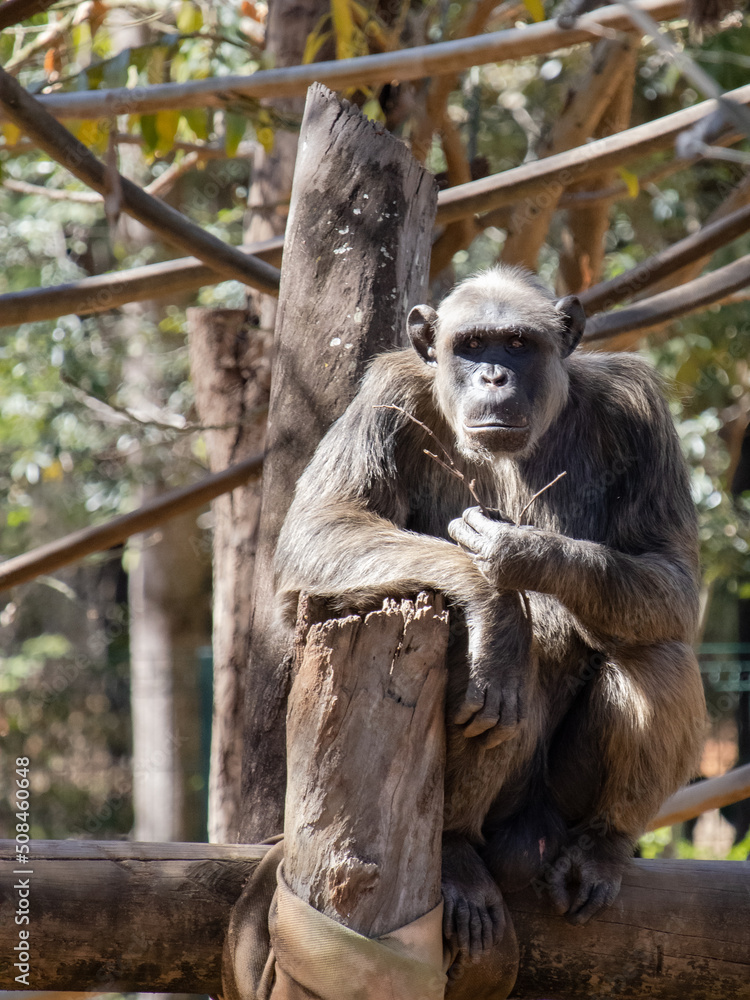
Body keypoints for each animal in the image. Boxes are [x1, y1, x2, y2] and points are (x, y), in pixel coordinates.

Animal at [273, 265, 706, 964]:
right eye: (473, 344)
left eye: (519, 345)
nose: (495, 376)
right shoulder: (384, 397)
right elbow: (322, 528)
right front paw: (493, 601)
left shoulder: (639, 411)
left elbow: (671, 575)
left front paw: (521, 552)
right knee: (465, 647)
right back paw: (455, 854)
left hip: (557, 811)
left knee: (654, 648)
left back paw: (604, 845)